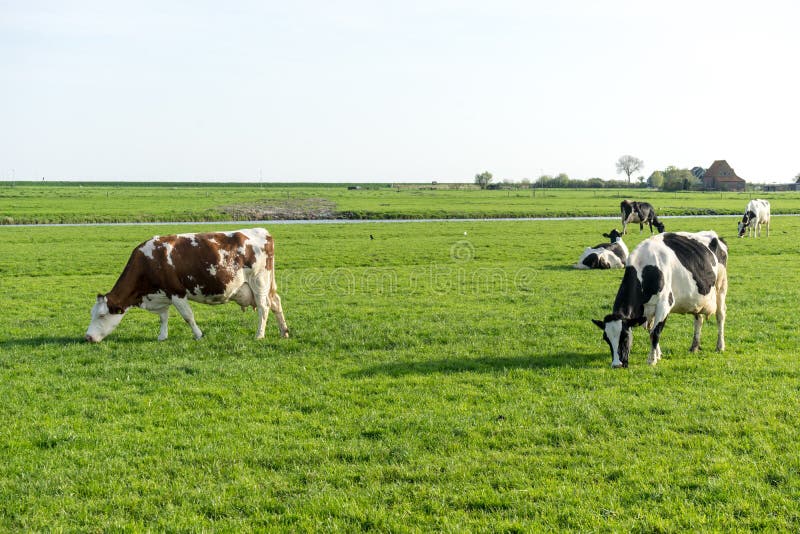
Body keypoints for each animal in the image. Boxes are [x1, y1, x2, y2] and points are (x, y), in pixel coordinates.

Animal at [85, 228, 289, 343]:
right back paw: (284, 332)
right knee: (276, 303)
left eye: (102, 315)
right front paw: (162, 337)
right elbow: (163, 317)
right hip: (268, 284)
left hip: (259, 281)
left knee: (264, 307)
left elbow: (188, 316)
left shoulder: (177, 292)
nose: (88, 337)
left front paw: (199, 335)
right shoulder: (162, 294)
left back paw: (259, 335)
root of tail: (262, 231)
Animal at [592, 231, 728, 368]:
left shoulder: (664, 304)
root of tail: (715, 235)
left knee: (720, 316)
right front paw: (658, 354)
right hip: (697, 299)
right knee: (698, 319)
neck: (645, 269)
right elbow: (650, 330)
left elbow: (655, 332)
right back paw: (694, 347)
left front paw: (652, 360)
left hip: (721, 287)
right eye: (606, 338)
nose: (616, 365)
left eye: (624, 336)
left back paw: (720, 346)